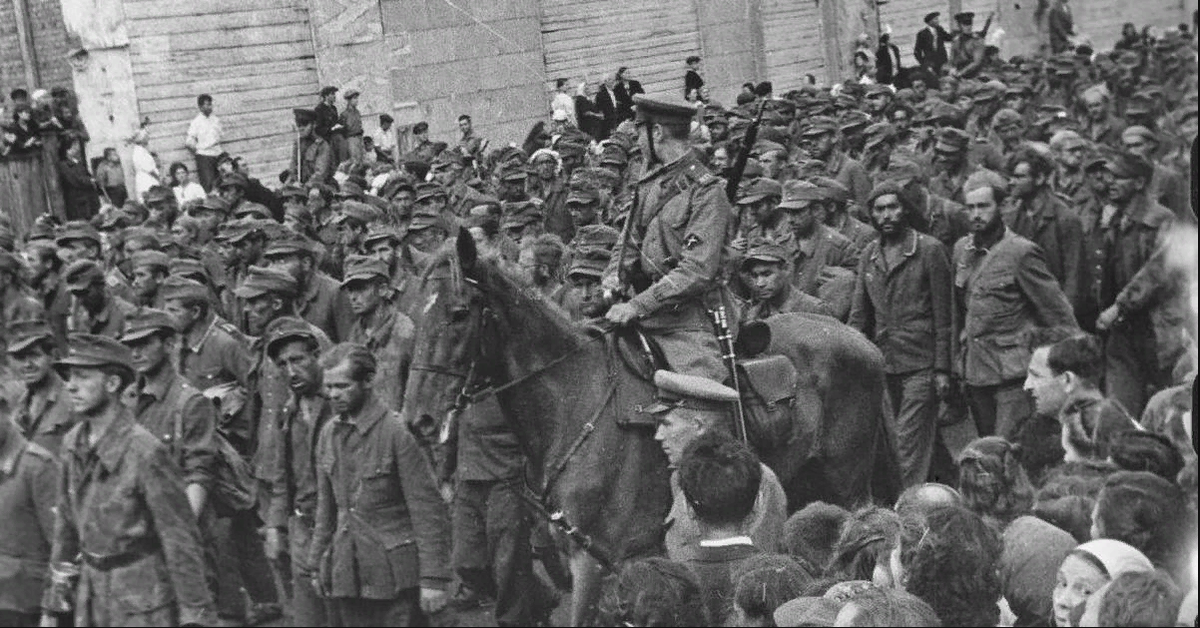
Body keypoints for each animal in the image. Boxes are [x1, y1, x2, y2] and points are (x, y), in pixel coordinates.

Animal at [400, 230, 892, 624]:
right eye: (416, 314)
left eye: (459, 313)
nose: (418, 418)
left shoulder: (593, 563)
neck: (573, 402)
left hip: (847, 480)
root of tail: (862, 342)